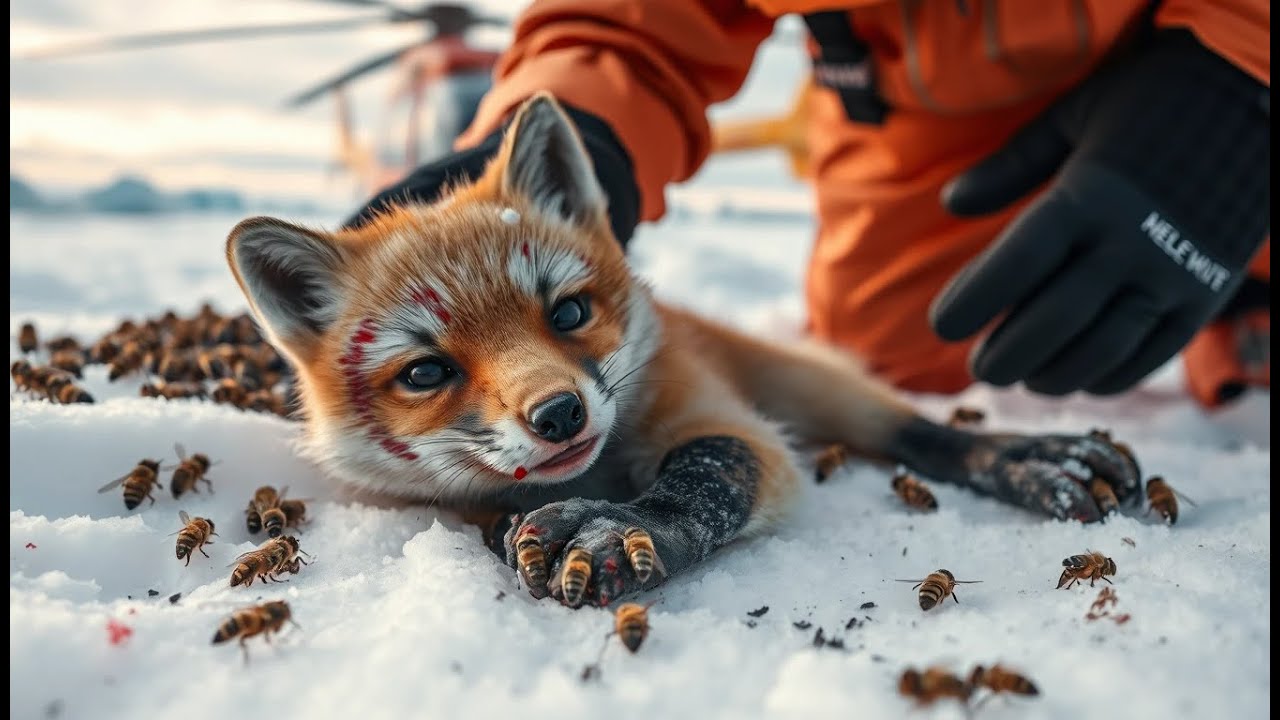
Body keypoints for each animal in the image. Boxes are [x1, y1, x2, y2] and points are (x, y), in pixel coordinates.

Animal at [225, 93, 1141, 609]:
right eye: (426, 372)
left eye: (567, 312)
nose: (559, 414)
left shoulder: (720, 416)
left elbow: (710, 472)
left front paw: (628, 529)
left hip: (812, 390)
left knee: (921, 433)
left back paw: (1031, 459)